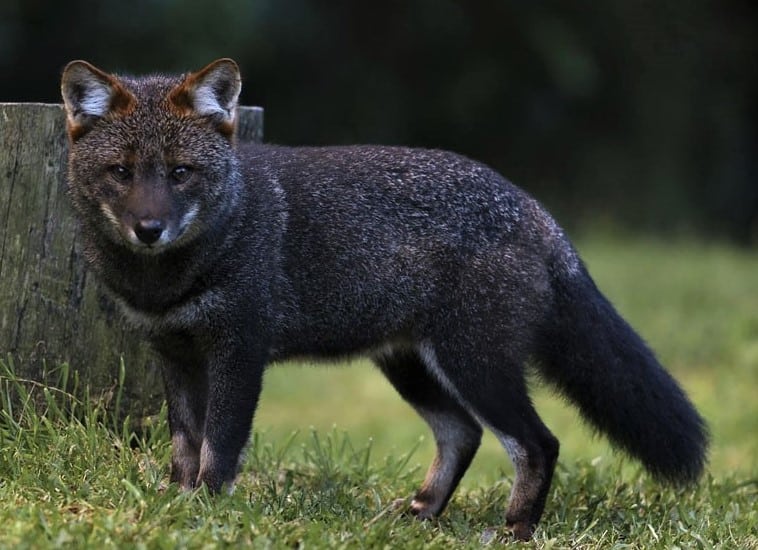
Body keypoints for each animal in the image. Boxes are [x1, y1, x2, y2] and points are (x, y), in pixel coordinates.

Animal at [60, 58, 708, 541]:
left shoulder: (239, 353)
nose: (149, 228)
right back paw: (421, 512)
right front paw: (178, 503)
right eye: (121, 172)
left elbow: (218, 448)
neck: (170, 276)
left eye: (180, 172)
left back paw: (515, 529)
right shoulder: (175, 353)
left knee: (537, 443)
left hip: (475, 364)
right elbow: (183, 446)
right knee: (462, 435)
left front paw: (206, 511)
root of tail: (533, 208)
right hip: (411, 365)